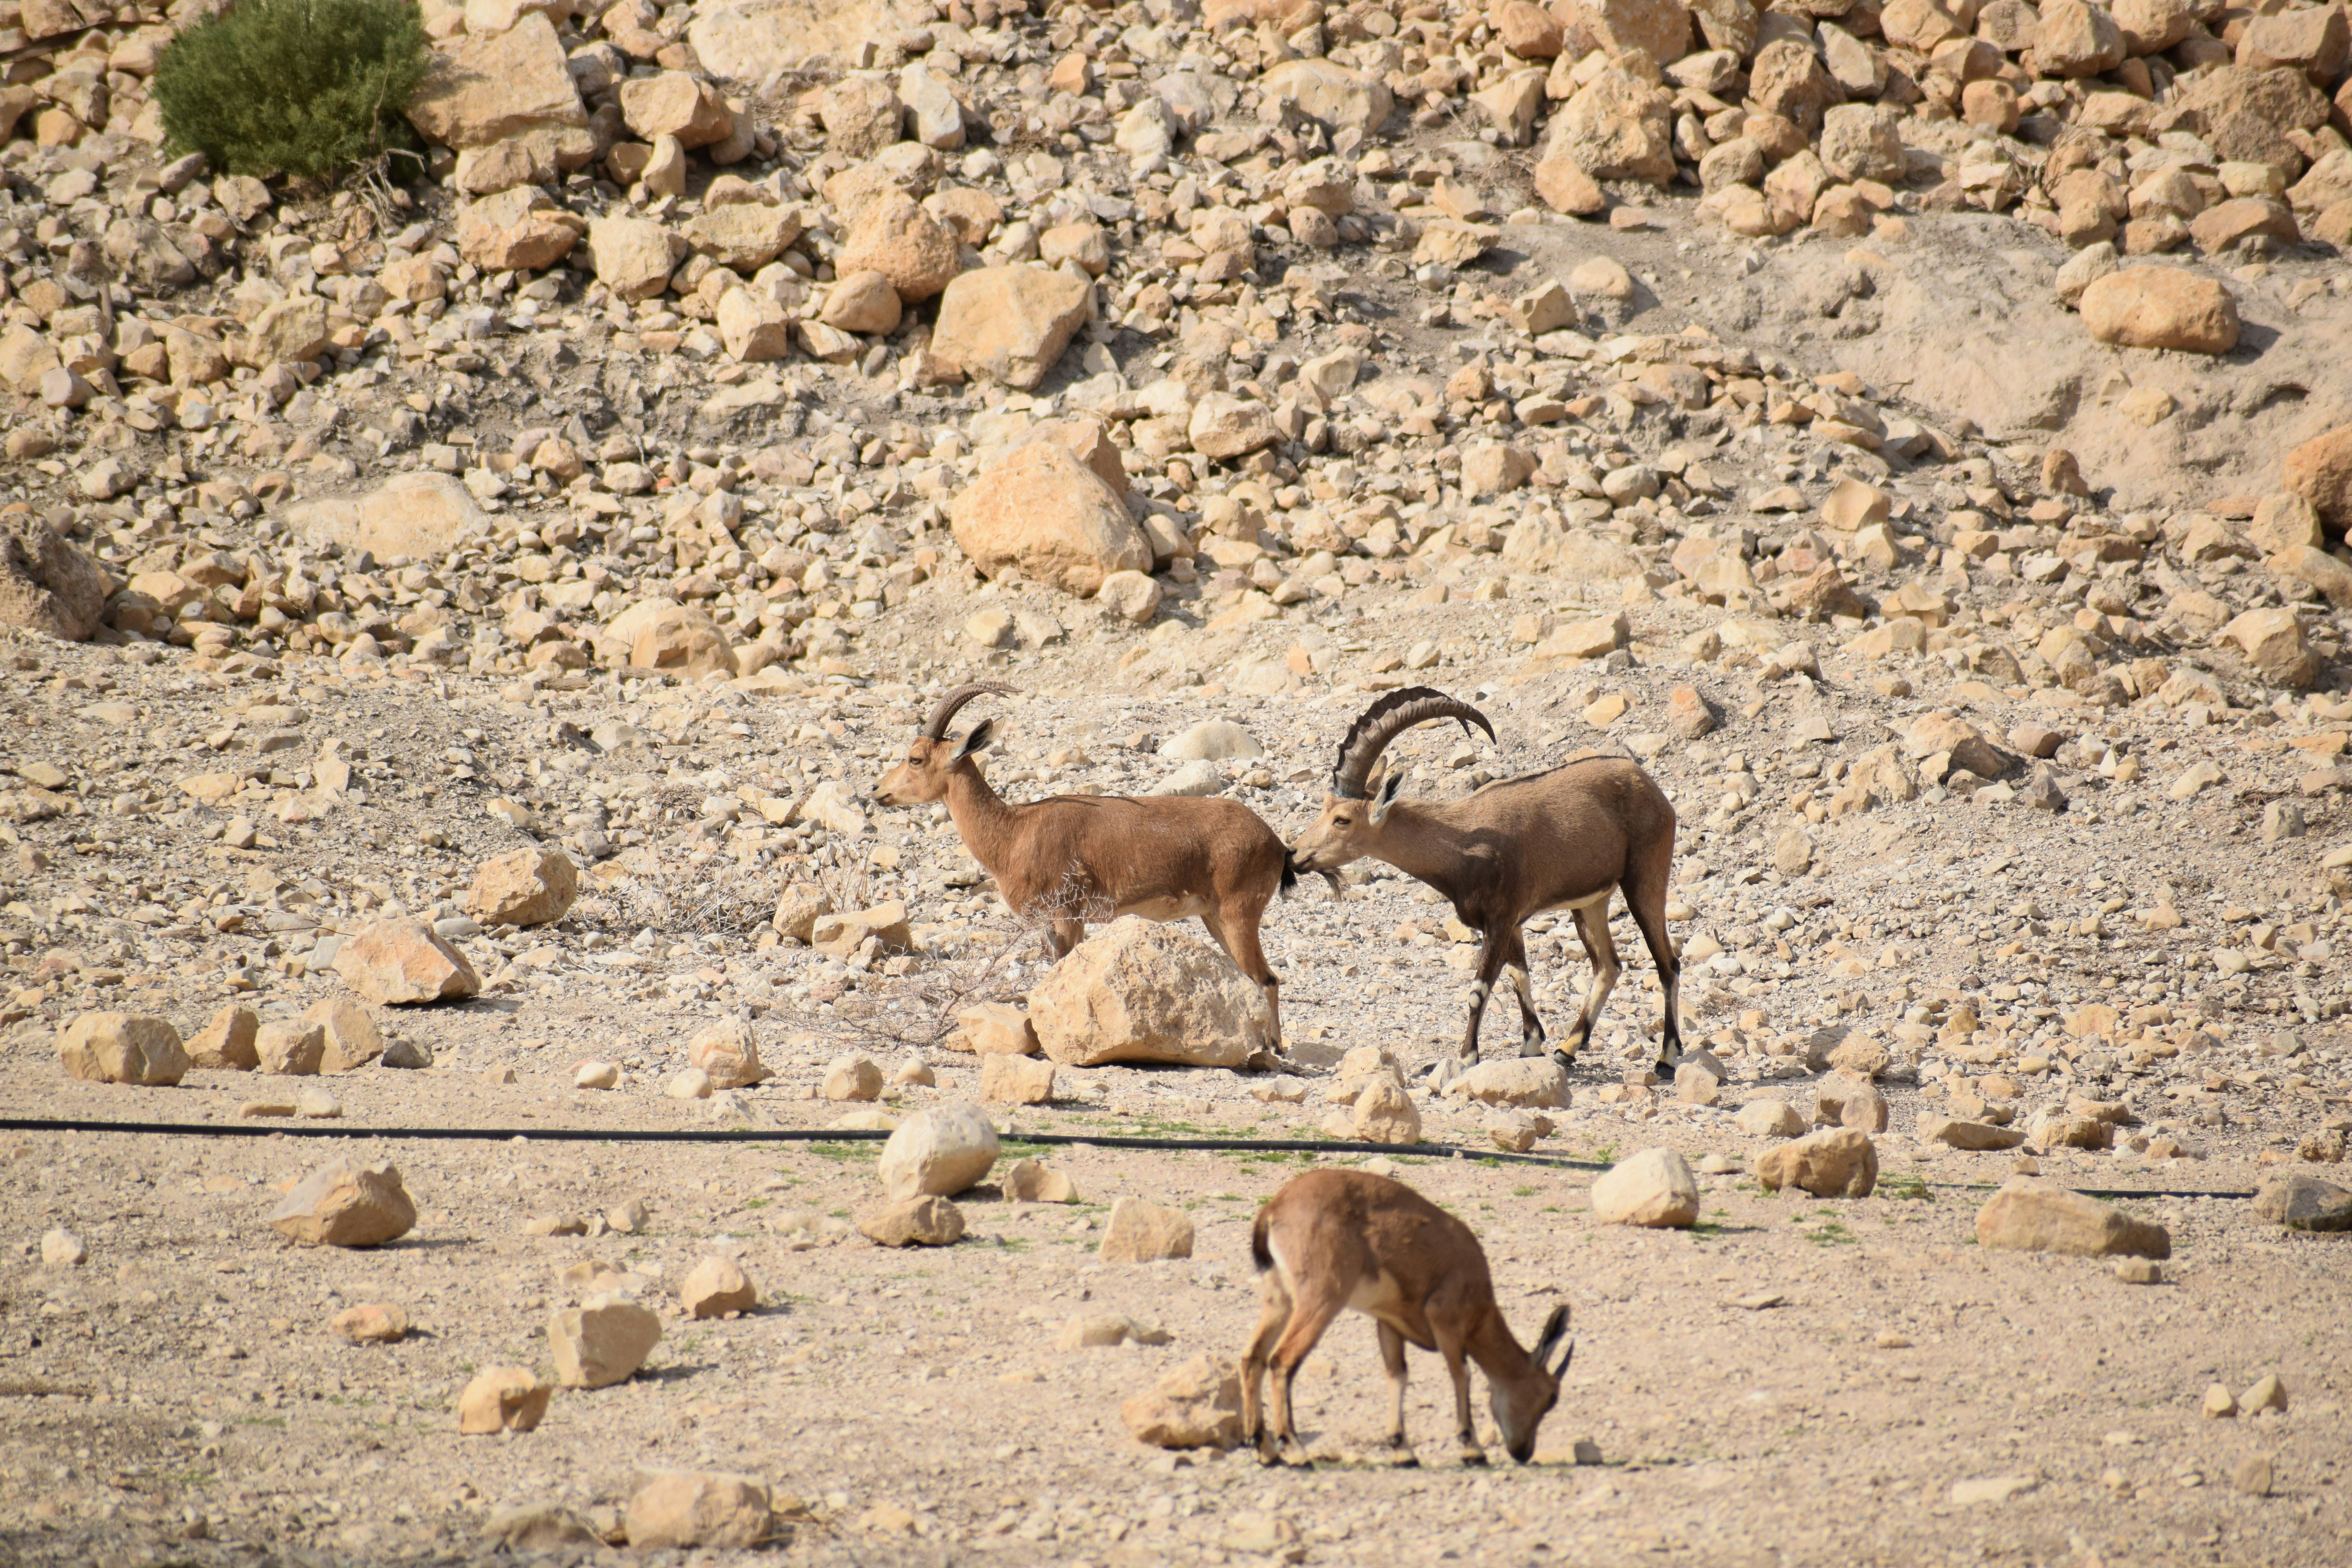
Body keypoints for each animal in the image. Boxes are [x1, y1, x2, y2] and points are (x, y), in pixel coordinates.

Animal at [870, 683, 1295, 1046]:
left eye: (916, 758)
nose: (877, 790)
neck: (1014, 833)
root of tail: (1276, 843)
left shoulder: (1068, 916)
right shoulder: (1053, 923)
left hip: (1239, 914)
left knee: (1267, 979)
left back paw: (1272, 1049)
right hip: (1213, 917)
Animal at [1244, 1168, 1572, 1467]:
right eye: (1552, 1396)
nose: (1523, 1452)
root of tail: (1274, 1210)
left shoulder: (1389, 1323)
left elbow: (1398, 1375)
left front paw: (1404, 1451)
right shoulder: (1446, 1320)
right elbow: (1461, 1374)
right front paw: (1473, 1450)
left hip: (1280, 1299)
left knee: (1253, 1358)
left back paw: (1266, 1451)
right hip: (1322, 1298)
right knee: (1282, 1361)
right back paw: (1296, 1451)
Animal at [1287, 687, 1684, 1072]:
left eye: (1342, 819)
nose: (1293, 855)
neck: (1462, 846)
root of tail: (1650, 786)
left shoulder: (1501, 919)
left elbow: (1479, 989)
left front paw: (1467, 1057)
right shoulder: (1513, 924)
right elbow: (1519, 977)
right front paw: (1532, 1047)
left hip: (1646, 880)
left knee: (1668, 964)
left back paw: (1666, 1058)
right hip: (1591, 901)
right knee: (1608, 965)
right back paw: (1567, 1049)